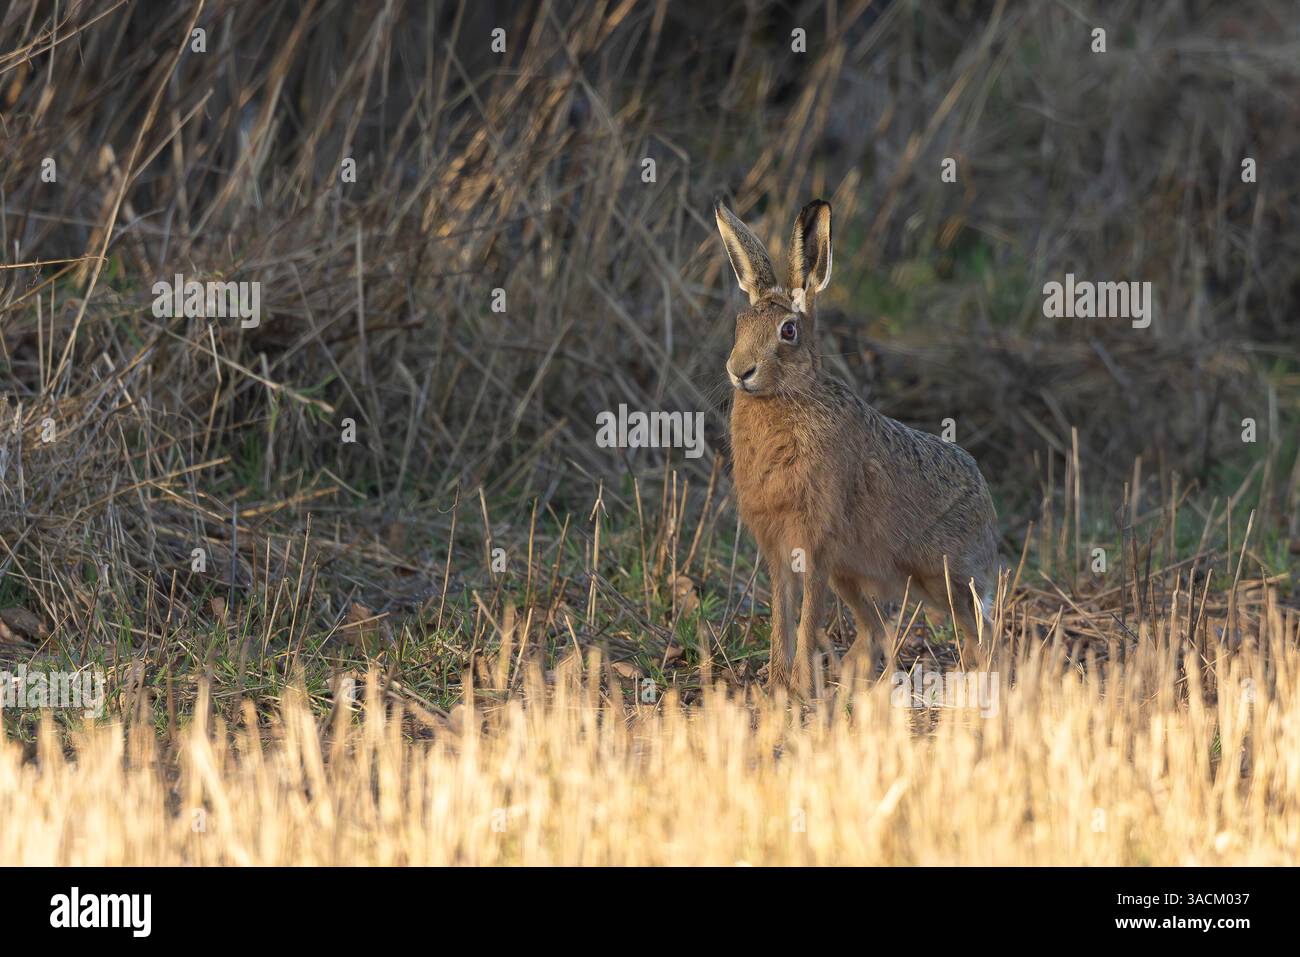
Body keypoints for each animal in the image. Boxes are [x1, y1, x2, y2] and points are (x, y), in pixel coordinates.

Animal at [713, 196, 999, 696]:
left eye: (788, 331)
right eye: (741, 324)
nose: (740, 370)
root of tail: (986, 502)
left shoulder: (816, 542)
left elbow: (806, 621)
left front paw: (799, 691)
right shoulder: (779, 549)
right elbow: (783, 620)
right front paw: (779, 689)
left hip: (944, 576)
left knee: (980, 629)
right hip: (855, 576)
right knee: (875, 630)